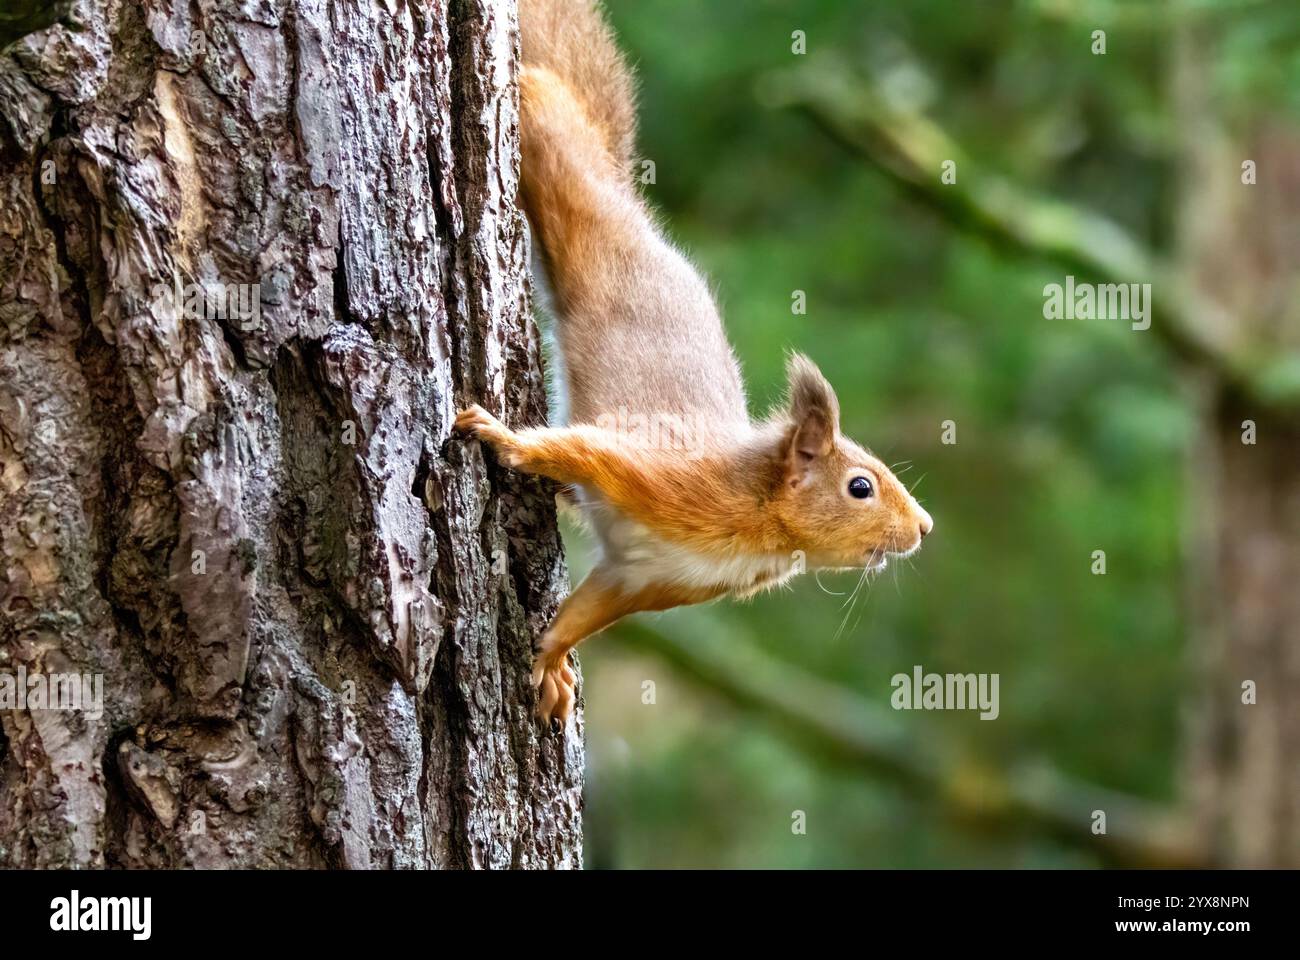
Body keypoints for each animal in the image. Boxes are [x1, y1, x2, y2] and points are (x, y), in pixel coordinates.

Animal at [455, 0, 933, 728]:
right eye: (861, 487)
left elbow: (585, 612)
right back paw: (527, 87)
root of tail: (637, 214)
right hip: (576, 195)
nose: (924, 528)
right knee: (553, 121)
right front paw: (501, 436)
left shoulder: (642, 577)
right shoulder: (663, 472)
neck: (760, 525)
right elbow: (577, 449)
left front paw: (554, 662)